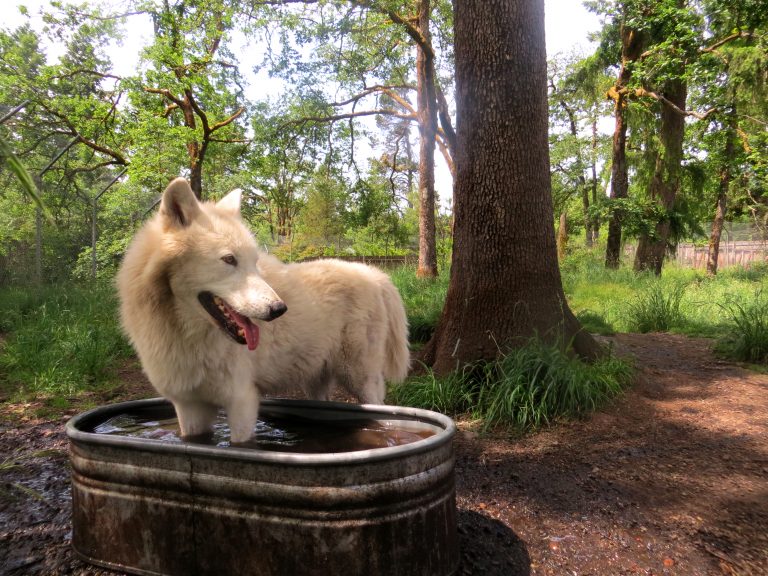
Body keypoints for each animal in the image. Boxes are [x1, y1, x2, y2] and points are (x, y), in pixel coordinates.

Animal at [117, 178, 410, 443]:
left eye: (254, 262)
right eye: (229, 260)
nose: (279, 308)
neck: (184, 335)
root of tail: (374, 273)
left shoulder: (242, 401)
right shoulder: (189, 407)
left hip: (361, 381)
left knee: (383, 413)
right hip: (316, 383)